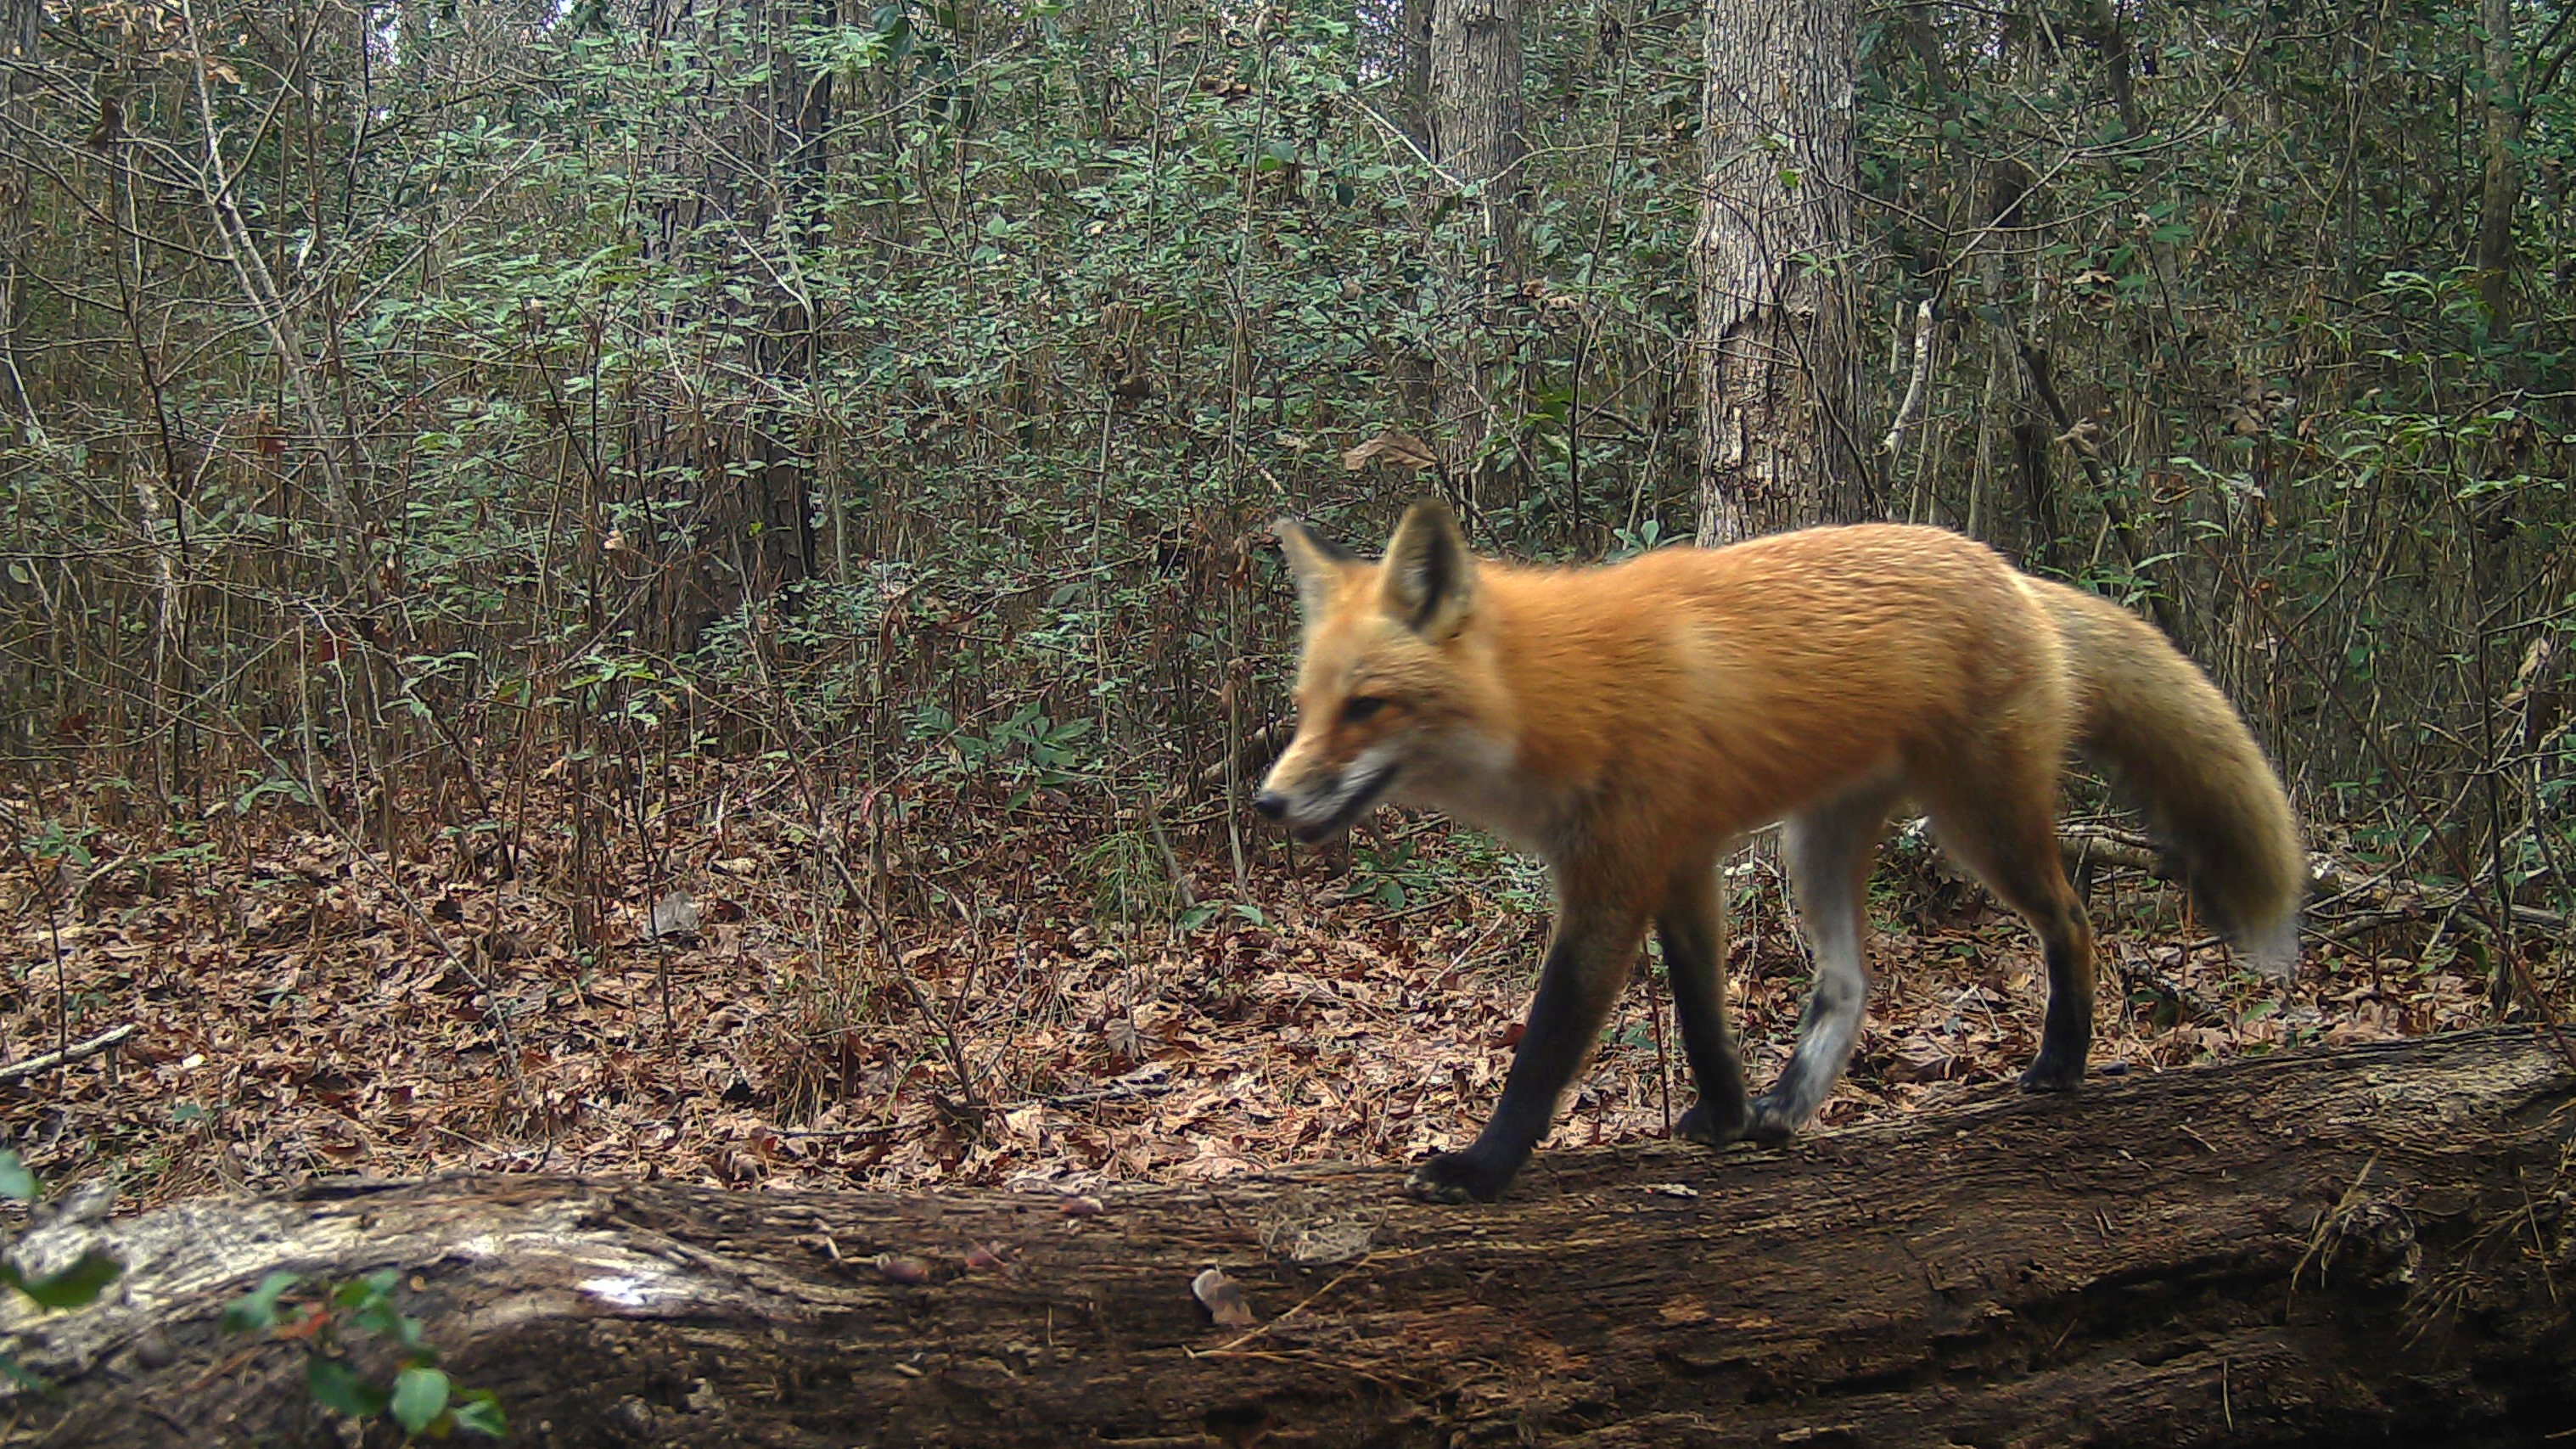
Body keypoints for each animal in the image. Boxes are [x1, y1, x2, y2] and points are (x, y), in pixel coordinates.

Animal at [1254, 499, 2304, 1203]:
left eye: (1366, 707)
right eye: (1306, 707)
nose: (1268, 801)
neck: (1561, 691)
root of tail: (2002, 566)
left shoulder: (1613, 880)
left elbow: (1545, 1048)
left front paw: (1478, 1168)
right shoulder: (1678, 863)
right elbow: (1700, 1015)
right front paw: (1726, 1115)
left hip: (1980, 825)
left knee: (2075, 923)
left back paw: (2061, 1063)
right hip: (1819, 843)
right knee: (1847, 983)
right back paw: (1786, 1105)